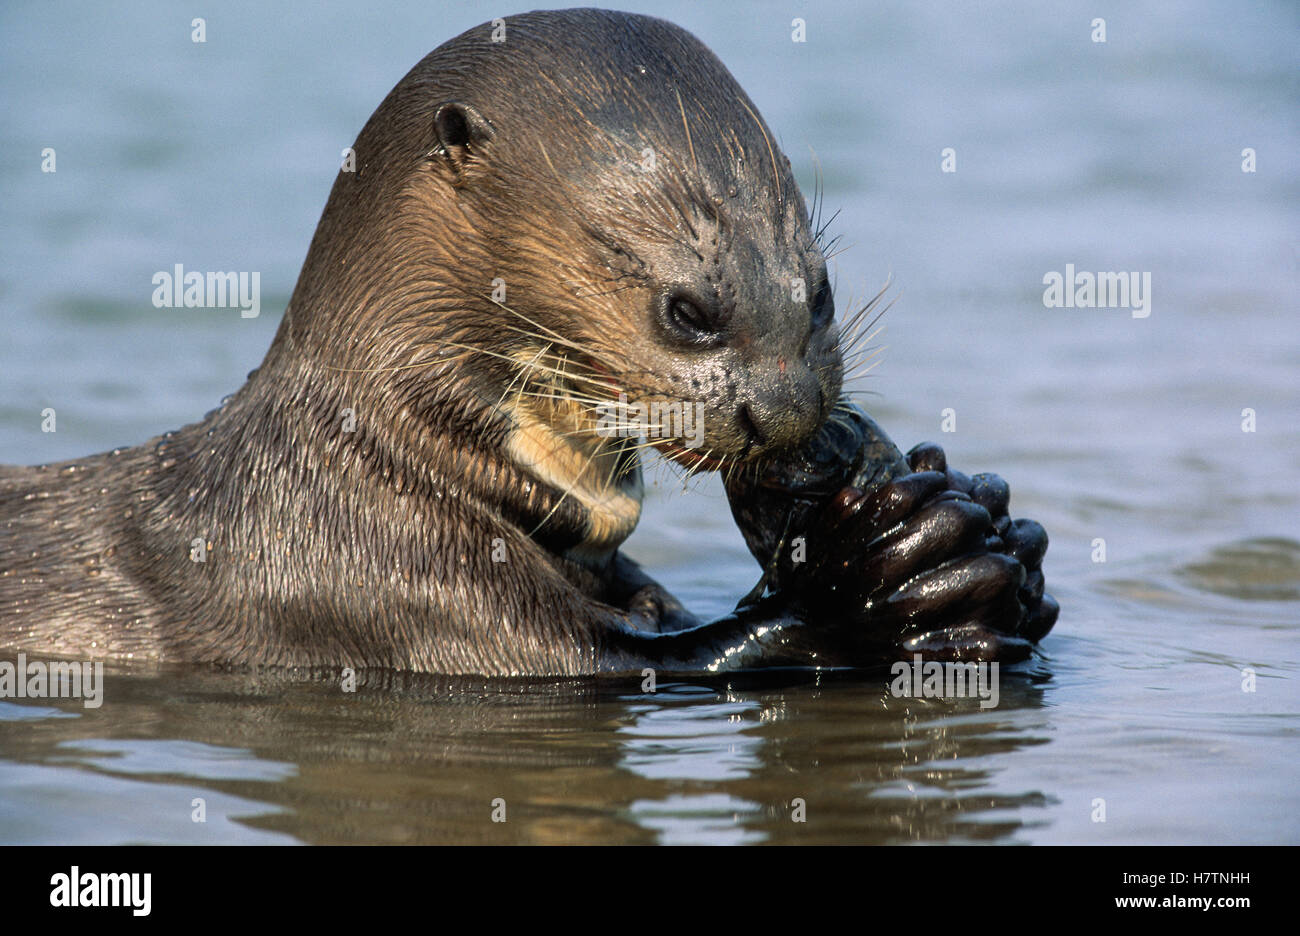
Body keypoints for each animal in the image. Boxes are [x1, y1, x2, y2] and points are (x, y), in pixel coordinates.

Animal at [0, 8, 1056, 676]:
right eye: (687, 310)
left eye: (824, 291)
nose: (789, 412)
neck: (378, 465)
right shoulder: (379, 590)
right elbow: (671, 657)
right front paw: (895, 574)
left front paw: (1006, 535)